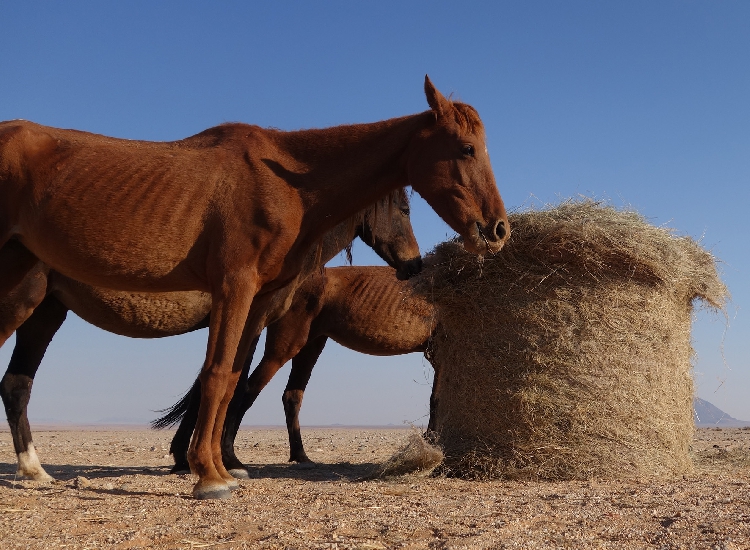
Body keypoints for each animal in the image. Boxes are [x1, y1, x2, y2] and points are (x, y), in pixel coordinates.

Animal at [156, 265, 440, 476]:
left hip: (312, 343)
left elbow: (435, 398)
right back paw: (231, 458)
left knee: (290, 395)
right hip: (287, 344)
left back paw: (300, 456)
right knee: (248, 389)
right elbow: (435, 398)